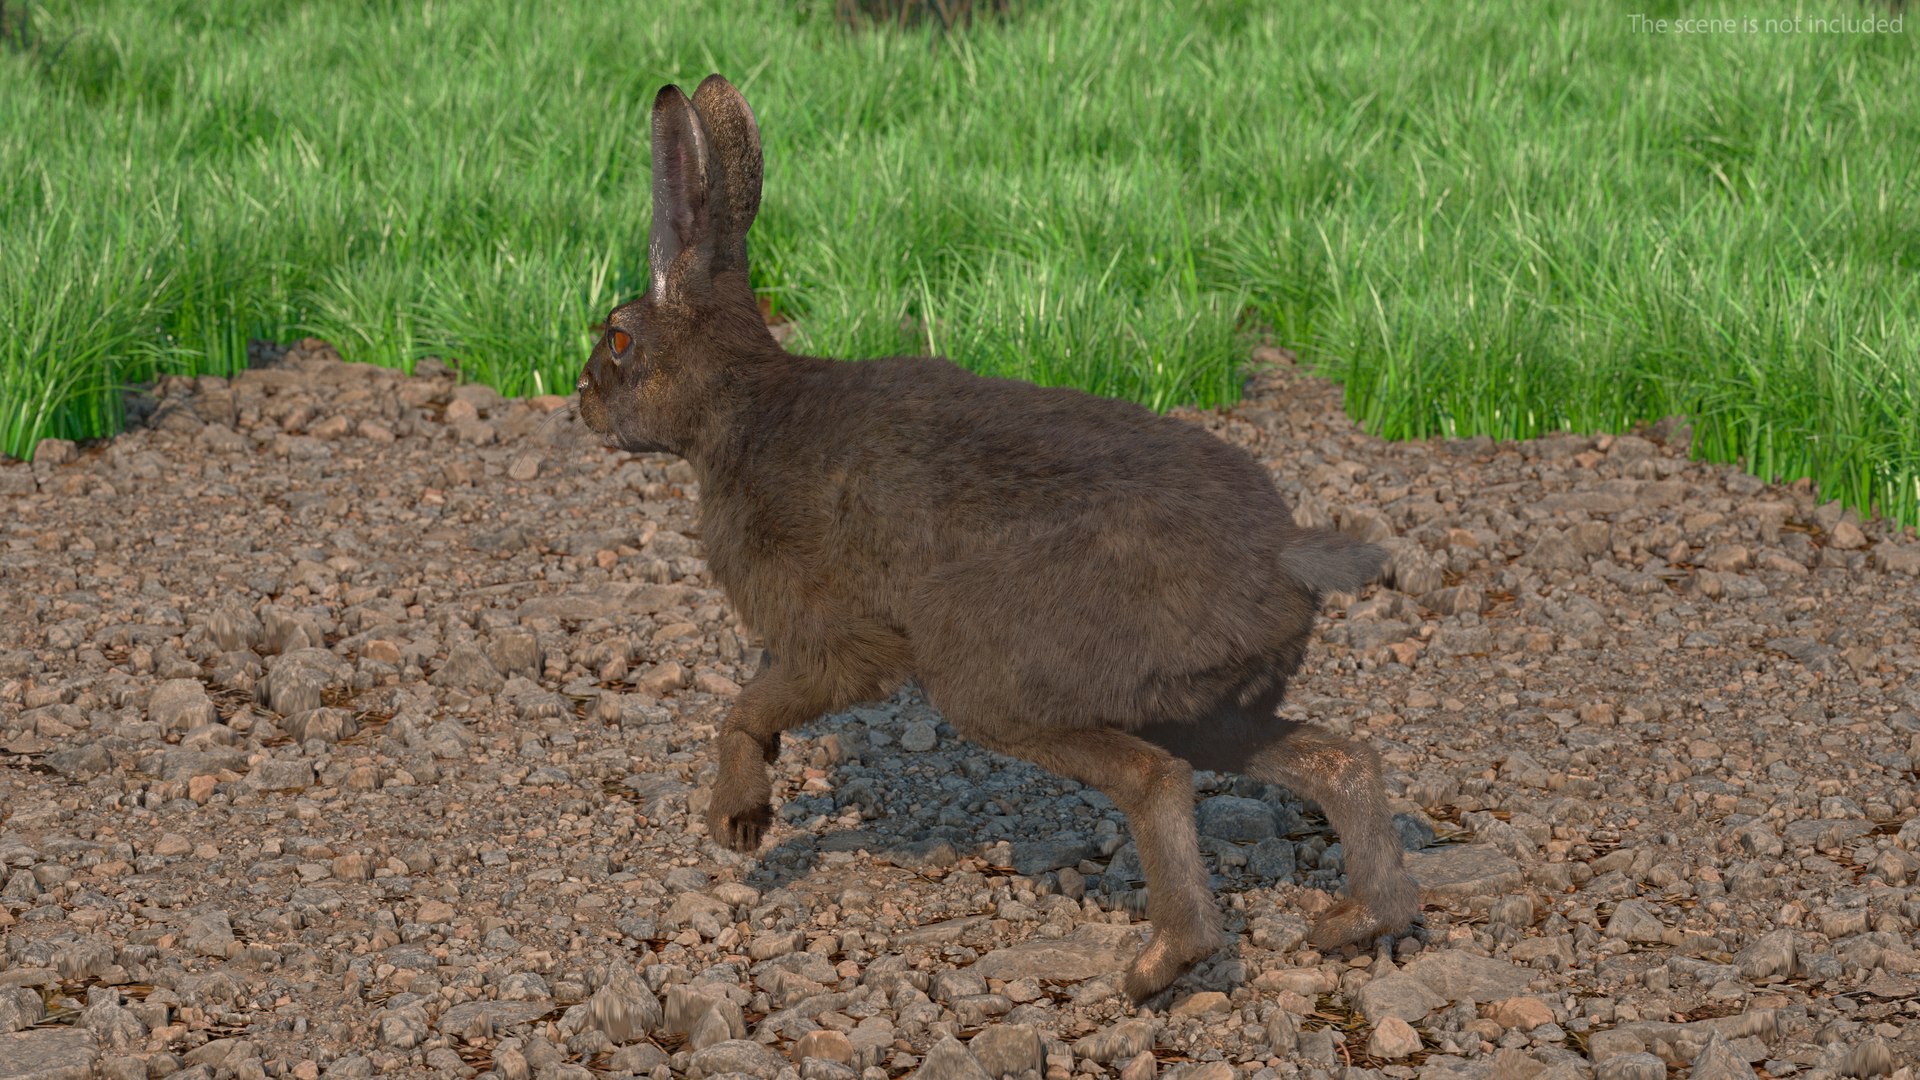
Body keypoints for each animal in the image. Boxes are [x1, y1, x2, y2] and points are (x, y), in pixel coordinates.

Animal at [575, 74, 1419, 1001]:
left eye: (619, 337)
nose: (582, 397)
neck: (738, 405)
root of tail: (1284, 560)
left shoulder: (834, 633)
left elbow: (756, 701)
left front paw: (738, 822)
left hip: (993, 676)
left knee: (1155, 779)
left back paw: (1153, 969)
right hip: (1209, 707)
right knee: (1339, 760)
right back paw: (1351, 923)